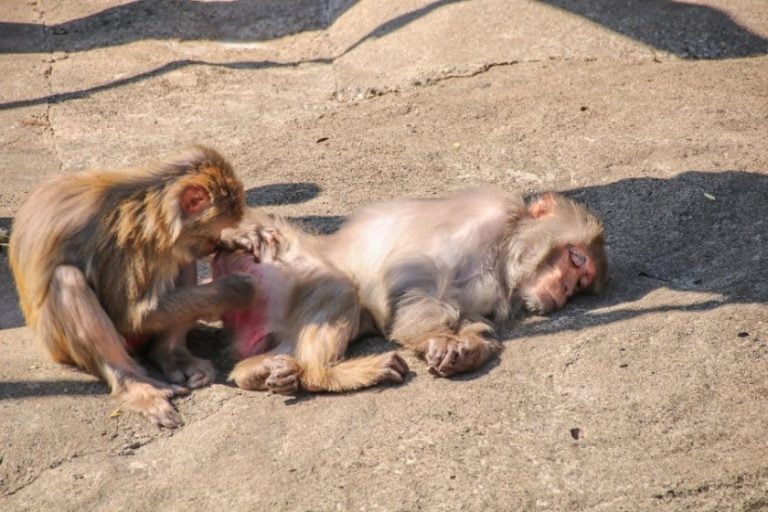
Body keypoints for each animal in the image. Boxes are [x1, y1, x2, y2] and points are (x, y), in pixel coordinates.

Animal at [9, 145, 265, 427]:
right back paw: (133, 384)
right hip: (60, 346)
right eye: (209, 236)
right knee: (67, 278)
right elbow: (135, 315)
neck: (152, 204)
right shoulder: (134, 241)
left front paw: (239, 238)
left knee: (181, 261)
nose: (214, 244)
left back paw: (171, 356)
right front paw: (241, 288)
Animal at [216, 187, 606, 392]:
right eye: (575, 258)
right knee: (341, 288)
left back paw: (260, 372)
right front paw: (437, 339)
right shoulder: (486, 218)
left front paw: (468, 350)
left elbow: (467, 313)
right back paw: (326, 374)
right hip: (280, 265)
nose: (565, 288)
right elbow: (413, 274)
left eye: (581, 285)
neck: (504, 248)